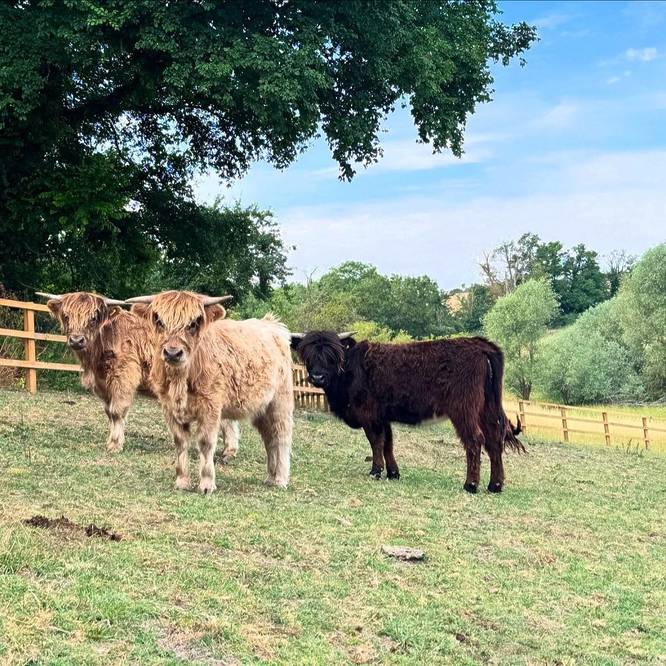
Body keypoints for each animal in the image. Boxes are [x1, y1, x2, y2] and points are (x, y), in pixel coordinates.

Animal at [38, 291, 240, 460]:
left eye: (93, 317)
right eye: (66, 316)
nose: (76, 340)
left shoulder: (123, 377)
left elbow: (116, 411)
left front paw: (115, 444)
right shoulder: (103, 385)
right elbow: (109, 412)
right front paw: (111, 440)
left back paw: (229, 451)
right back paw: (228, 450)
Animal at [126, 290, 294, 493]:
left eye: (193, 323)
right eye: (159, 321)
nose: (172, 353)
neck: (181, 380)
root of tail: (273, 325)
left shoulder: (210, 408)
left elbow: (206, 443)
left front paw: (207, 484)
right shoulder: (170, 408)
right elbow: (180, 442)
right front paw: (182, 481)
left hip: (280, 403)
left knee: (281, 437)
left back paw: (281, 479)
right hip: (261, 409)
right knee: (269, 439)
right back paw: (270, 477)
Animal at [290, 331, 523, 493]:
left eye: (333, 355)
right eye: (308, 355)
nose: (317, 377)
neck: (351, 369)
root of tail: (480, 344)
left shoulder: (369, 415)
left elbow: (375, 442)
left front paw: (376, 471)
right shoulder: (383, 417)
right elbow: (388, 443)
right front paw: (393, 472)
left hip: (464, 409)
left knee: (475, 440)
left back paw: (471, 484)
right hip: (487, 408)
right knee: (494, 441)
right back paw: (495, 485)